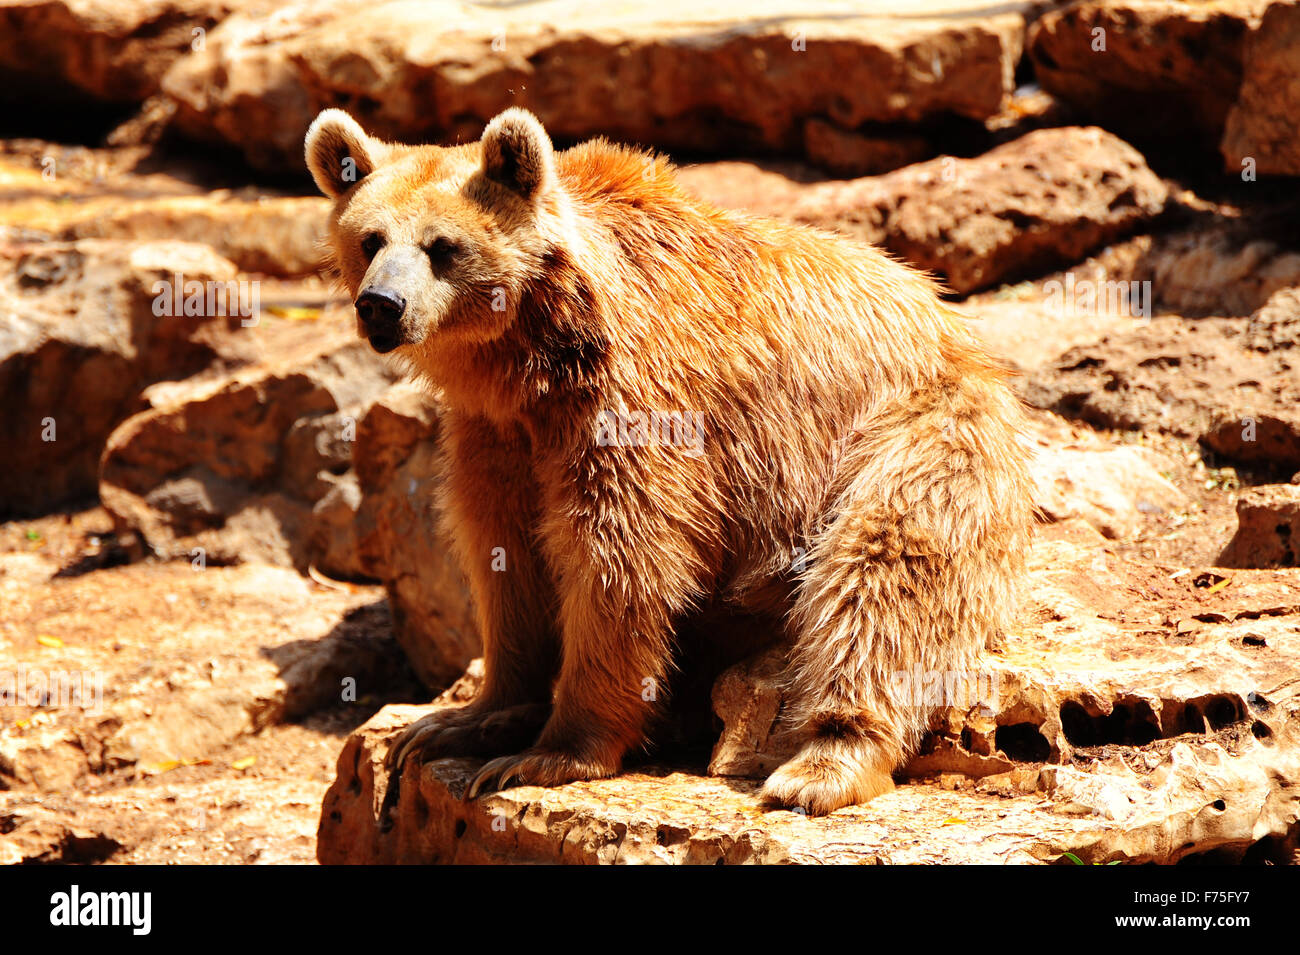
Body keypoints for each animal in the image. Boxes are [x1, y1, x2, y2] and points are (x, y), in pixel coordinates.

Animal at [305, 106, 1034, 815]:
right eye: (370, 239)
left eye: (442, 247)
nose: (381, 305)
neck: (532, 357)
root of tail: (962, 332)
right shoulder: (497, 435)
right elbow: (504, 553)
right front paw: (462, 720)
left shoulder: (639, 399)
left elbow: (620, 555)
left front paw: (549, 752)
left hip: (913, 438)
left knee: (884, 570)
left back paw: (823, 765)